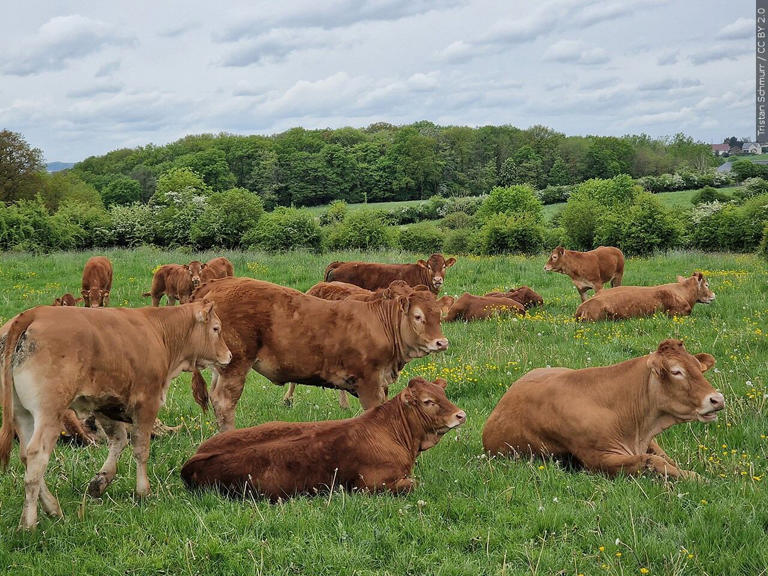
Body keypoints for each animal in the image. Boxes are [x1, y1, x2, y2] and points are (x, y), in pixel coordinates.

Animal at [0, 300, 231, 530]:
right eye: (216, 329)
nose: (229, 355)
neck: (157, 330)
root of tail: (34, 313)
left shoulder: (104, 406)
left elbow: (119, 441)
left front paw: (100, 481)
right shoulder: (147, 403)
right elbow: (141, 448)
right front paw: (143, 491)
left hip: (23, 414)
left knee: (25, 456)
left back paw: (52, 507)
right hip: (49, 413)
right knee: (36, 455)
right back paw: (28, 523)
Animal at [181, 376, 465, 499]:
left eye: (443, 393)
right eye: (428, 401)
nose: (460, 415)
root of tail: (195, 458)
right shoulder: (369, 485)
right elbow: (413, 484)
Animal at [190, 276, 449, 431]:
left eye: (439, 314)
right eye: (418, 316)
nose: (441, 342)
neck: (379, 323)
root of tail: (218, 284)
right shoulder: (369, 383)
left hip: (221, 366)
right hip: (236, 364)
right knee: (224, 402)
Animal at [482, 339, 724, 479]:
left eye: (698, 367)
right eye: (676, 371)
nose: (717, 399)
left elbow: (665, 458)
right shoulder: (598, 459)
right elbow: (653, 462)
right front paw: (698, 478)